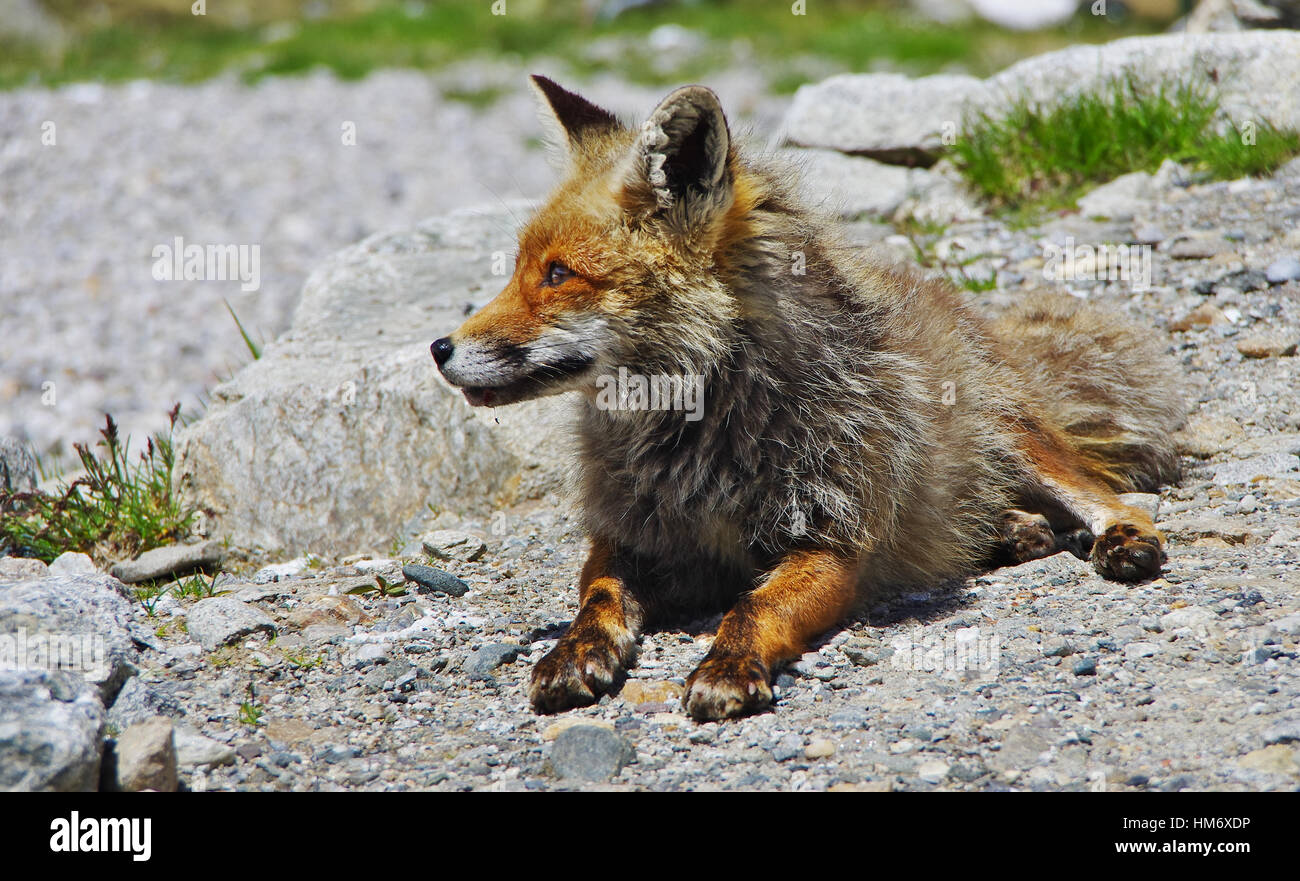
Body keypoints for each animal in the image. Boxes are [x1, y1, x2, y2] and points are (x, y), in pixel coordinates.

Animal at [431, 76, 1186, 722]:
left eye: (558, 274)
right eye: (517, 268)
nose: (439, 348)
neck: (697, 444)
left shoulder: (832, 541)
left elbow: (753, 609)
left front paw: (727, 668)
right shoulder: (627, 533)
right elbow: (595, 599)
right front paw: (574, 654)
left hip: (1016, 440)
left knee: (1106, 496)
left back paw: (1118, 539)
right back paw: (1008, 530)